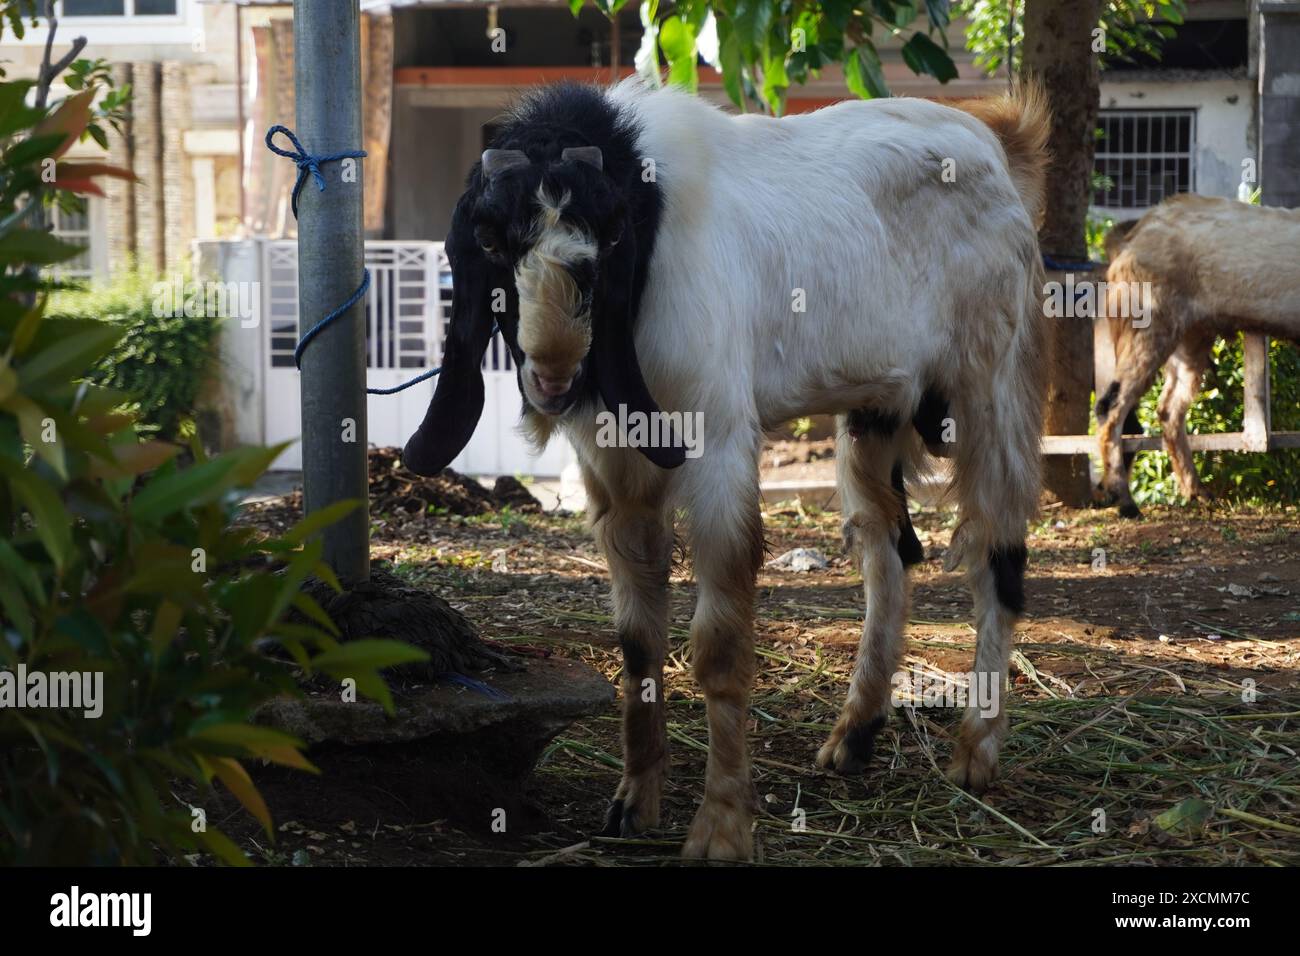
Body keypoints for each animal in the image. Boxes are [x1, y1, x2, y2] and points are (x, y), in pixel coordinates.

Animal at [403, 79, 1050, 861]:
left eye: (609, 241)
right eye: (493, 240)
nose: (554, 372)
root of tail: (997, 143)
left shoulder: (716, 447)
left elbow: (718, 645)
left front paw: (721, 827)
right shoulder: (614, 469)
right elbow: (637, 640)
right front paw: (634, 801)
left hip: (990, 386)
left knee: (996, 557)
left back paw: (977, 750)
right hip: (875, 408)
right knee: (887, 551)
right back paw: (854, 734)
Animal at [1096, 194, 1300, 517]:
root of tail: (1130, 238)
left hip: (1191, 337)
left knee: (1169, 410)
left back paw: (1196, 491)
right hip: (1148, 330)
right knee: (1111, 406)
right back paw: (1123, 499)